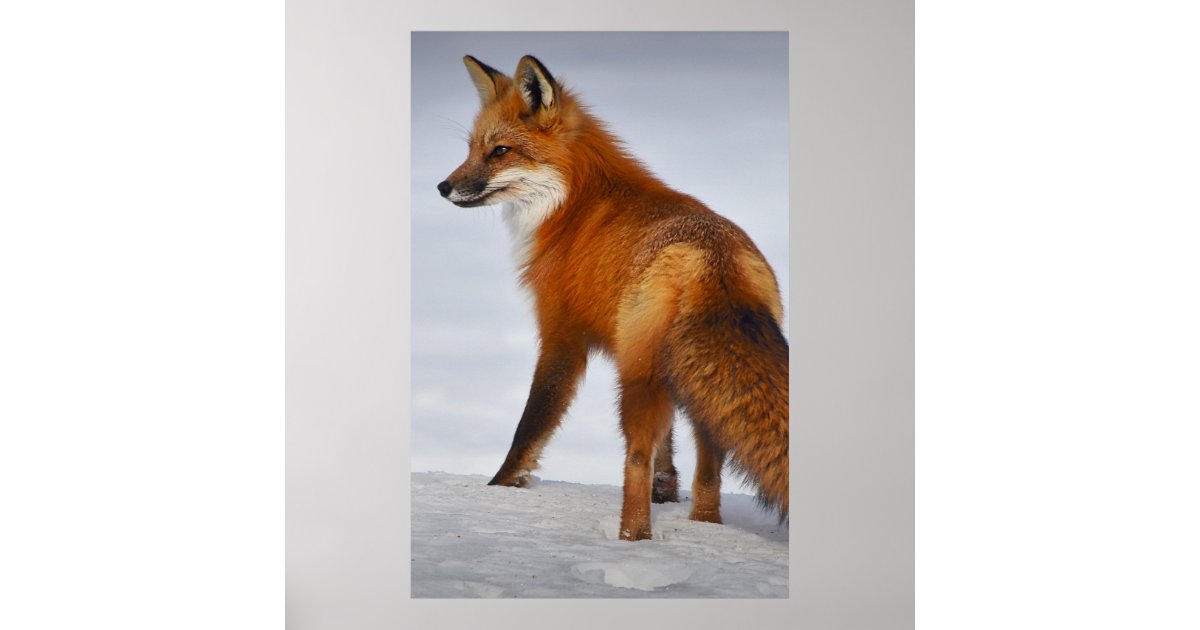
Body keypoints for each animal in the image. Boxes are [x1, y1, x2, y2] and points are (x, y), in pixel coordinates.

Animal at [437, 54, 788, 541]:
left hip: (637, 377)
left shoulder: (562, 333)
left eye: (500, 151)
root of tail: (712, 257)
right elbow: (669, 454)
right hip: (691, 385)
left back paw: (632, 539)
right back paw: (705, 528)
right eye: (471, 148)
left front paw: (500, 487)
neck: (572, 205)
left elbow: (531, 424)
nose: (442, 186)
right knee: (708, 469)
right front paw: (668, 491)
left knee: (635, 460)